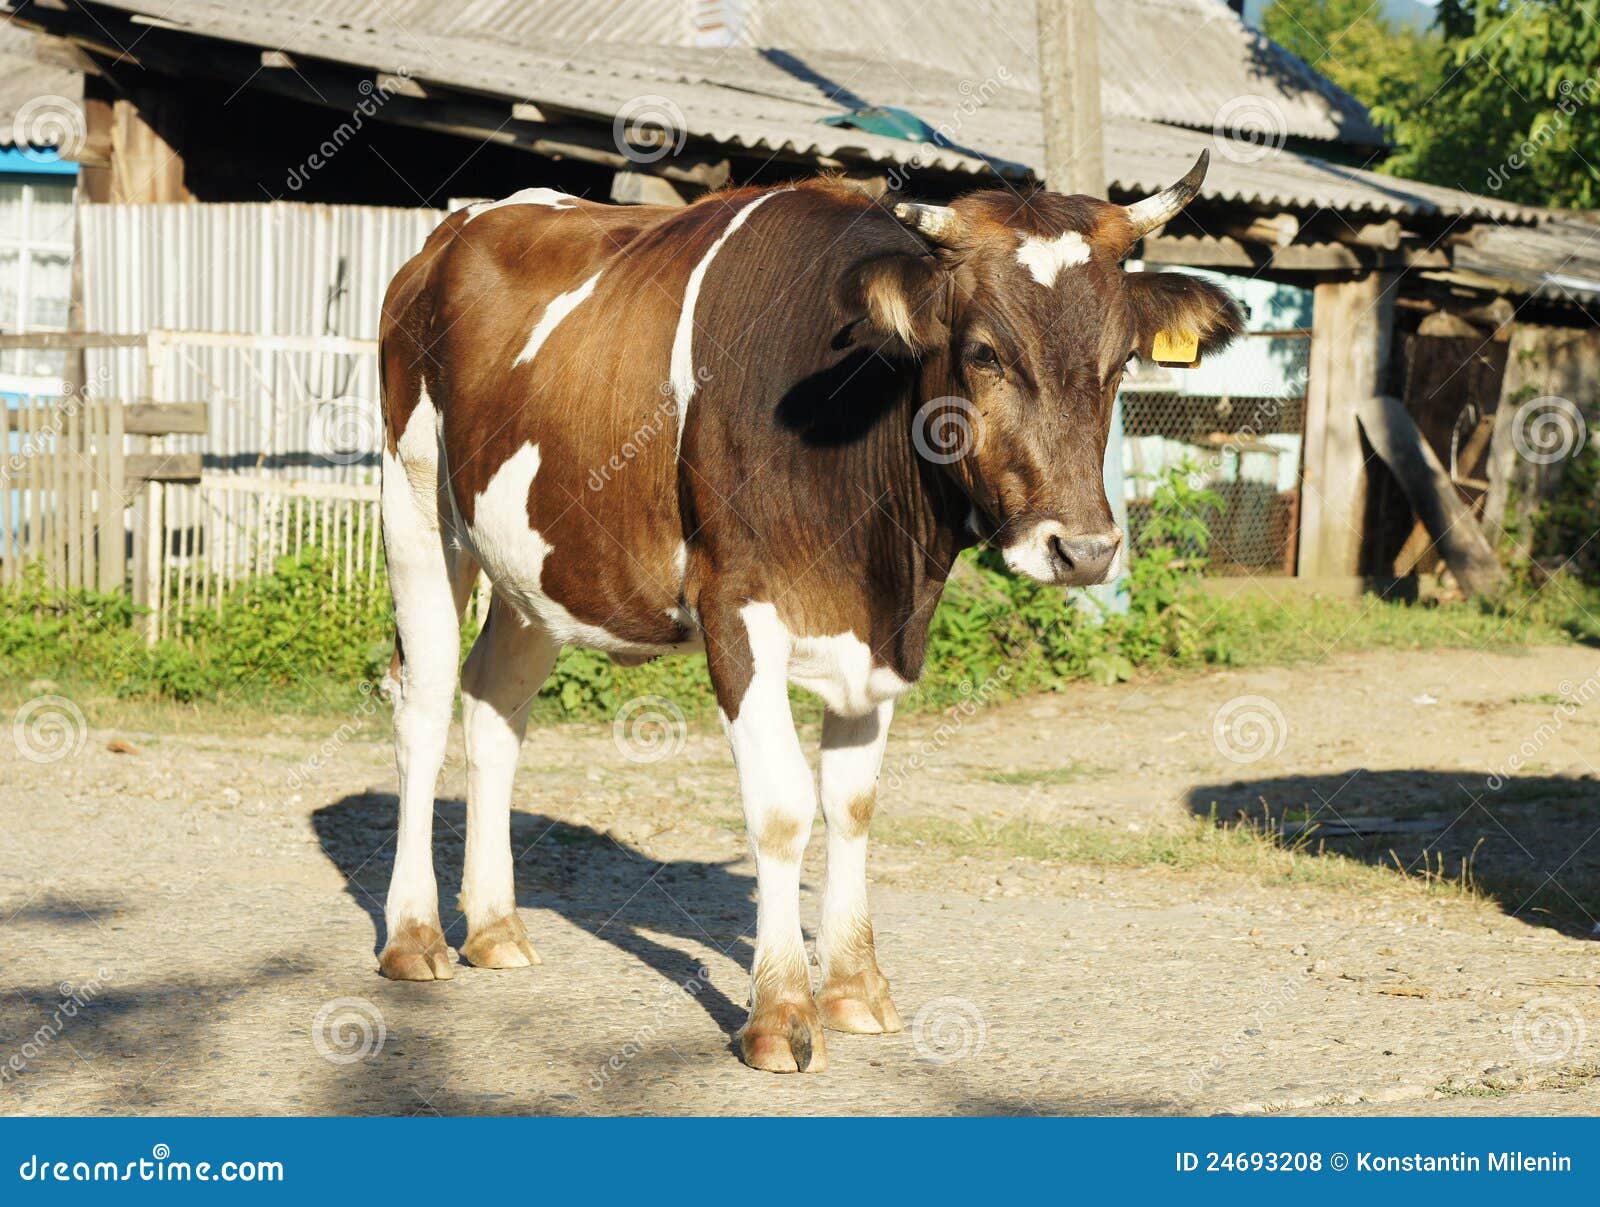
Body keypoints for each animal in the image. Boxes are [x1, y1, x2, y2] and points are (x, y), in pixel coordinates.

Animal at [375, 151, 1242, 1073]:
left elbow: (852, 801)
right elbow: (784, 804)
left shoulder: (885, 631)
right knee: (424, 704)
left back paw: (495, 926)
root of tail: (457, 228)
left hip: (540, 563)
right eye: (984, 352)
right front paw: (783, 1010)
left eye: (1121, 361)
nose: (1083, 549)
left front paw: (856, 987)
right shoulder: (735, 608)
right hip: (415, 505)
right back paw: (415, 935)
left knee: (494, 705)